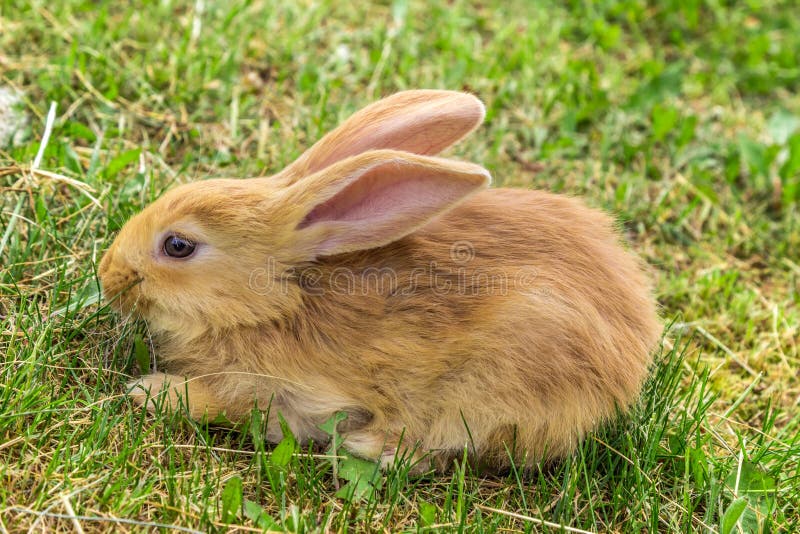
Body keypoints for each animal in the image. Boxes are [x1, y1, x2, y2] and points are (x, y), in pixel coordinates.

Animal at [99, 90, 661, 472]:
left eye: (178, 246)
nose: (108, 276)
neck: (277, 301)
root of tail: (633, 355)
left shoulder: (297, 396)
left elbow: (236, 406)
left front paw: (152, 392)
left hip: (494, 384)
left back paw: (370, 447)